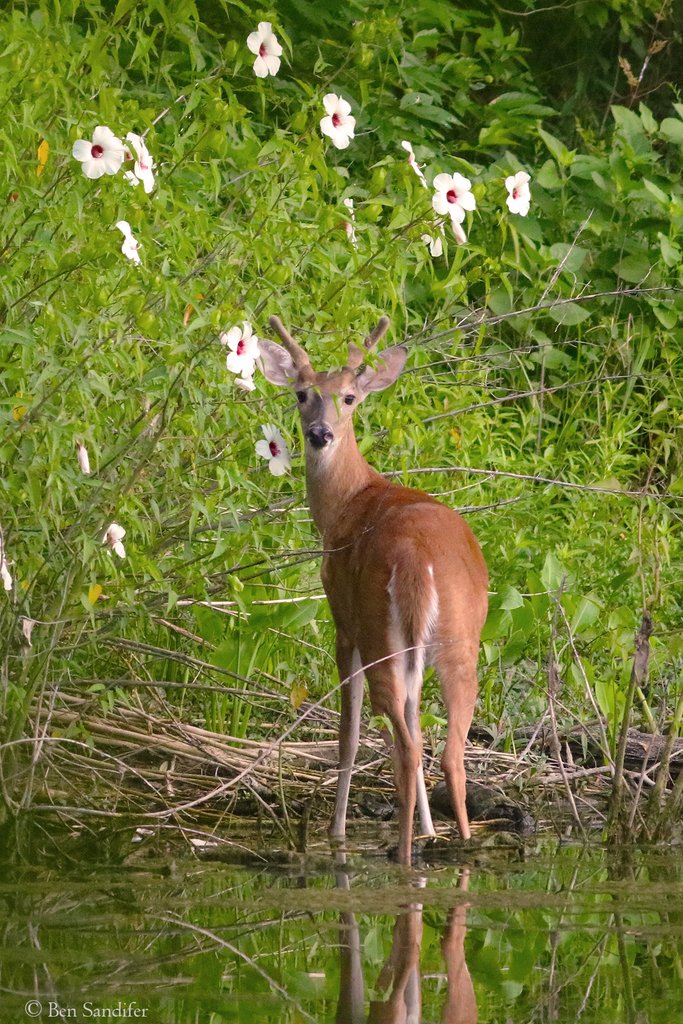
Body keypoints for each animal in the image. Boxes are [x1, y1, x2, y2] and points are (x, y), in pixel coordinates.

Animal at [258, 314, 488, 865]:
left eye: (348, 397)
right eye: (302, 393)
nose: (319, 433)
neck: (347, 501)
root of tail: (419, 561)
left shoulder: (343, 621)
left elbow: (348, 733)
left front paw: (337, 829)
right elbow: (416, 715)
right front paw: (428, 827)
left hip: (379, 629)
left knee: (402, 745)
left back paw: (402, 852)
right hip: (458, 639)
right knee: (445, 749)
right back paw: (455, 845)